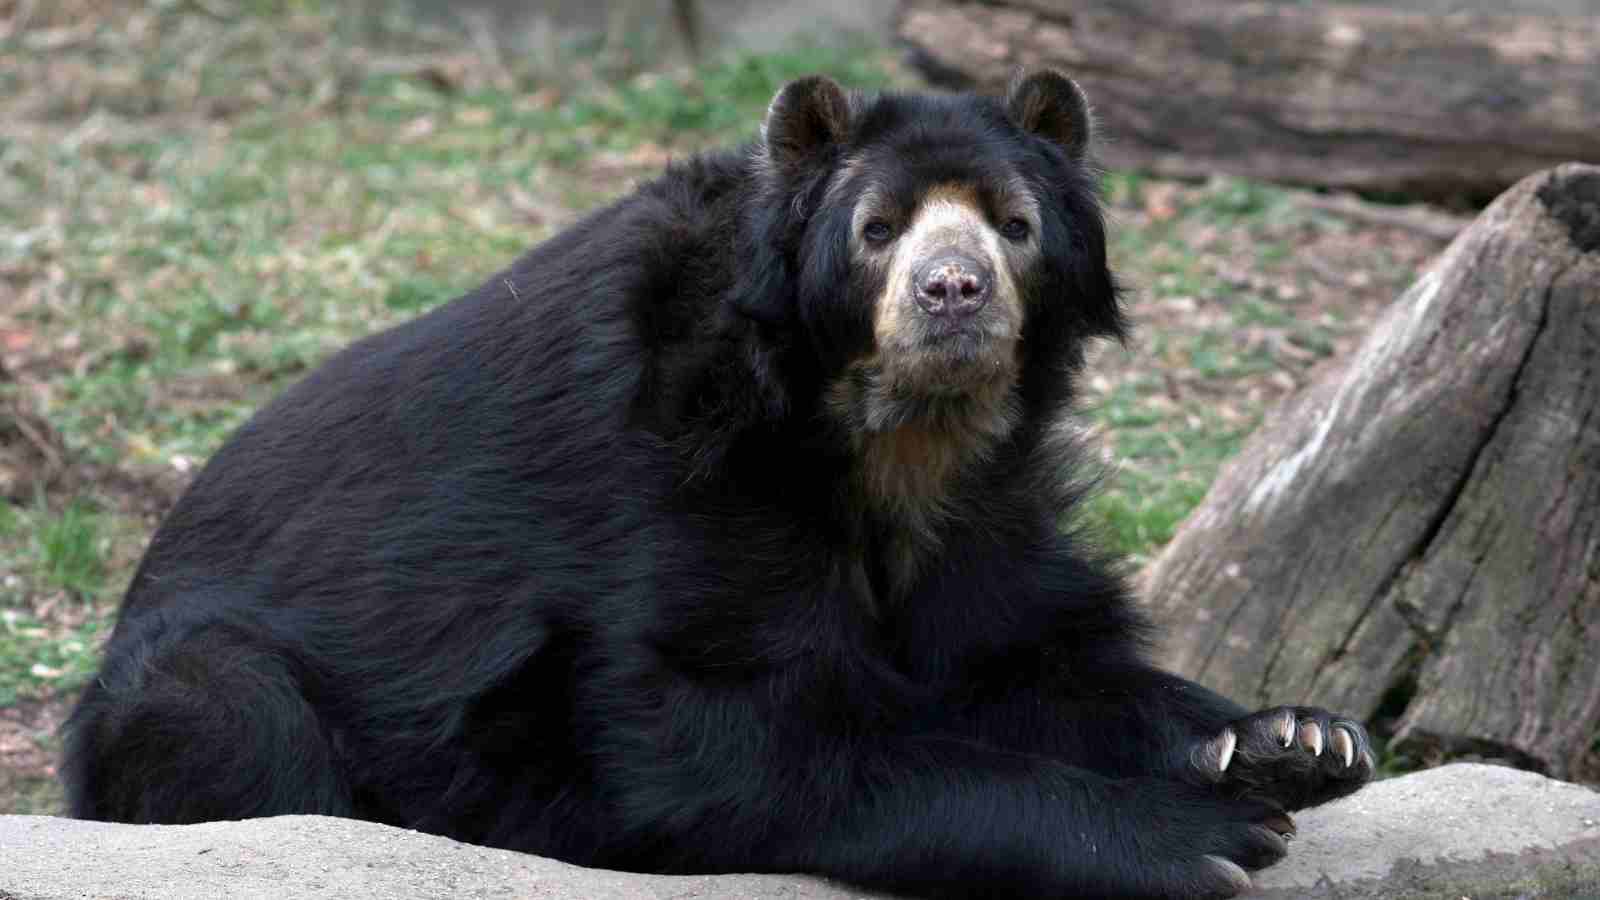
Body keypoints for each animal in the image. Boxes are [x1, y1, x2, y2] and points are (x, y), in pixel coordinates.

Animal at [62, 70, 1374, 899]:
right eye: (878, 229)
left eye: (1013, 224)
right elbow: (721, 739)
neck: (887, 435)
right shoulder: (670, 493)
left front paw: (1291, 741)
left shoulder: (980, 508)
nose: (953, 295)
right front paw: (1202, 837)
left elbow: (1018, 656)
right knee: (234, 721)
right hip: (193, 682)